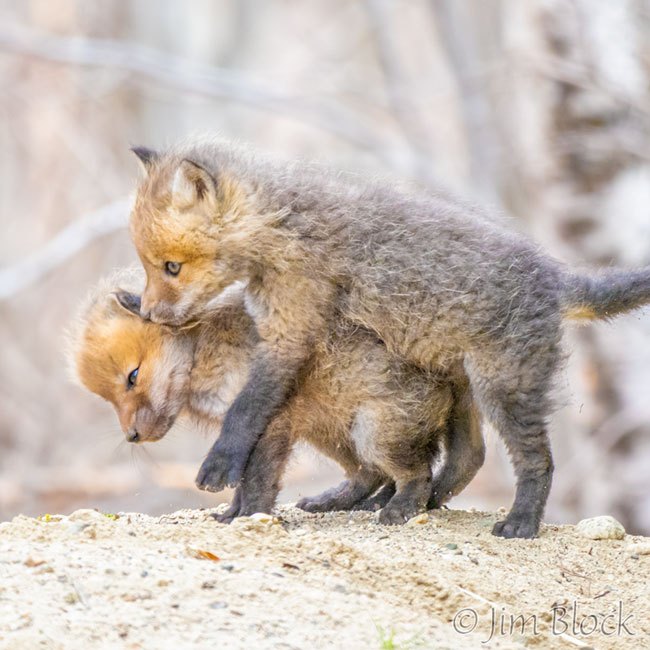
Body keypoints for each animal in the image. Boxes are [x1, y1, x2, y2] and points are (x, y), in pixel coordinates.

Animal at [66, 270, 485, 524]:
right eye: (107, 398)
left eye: (133, 377)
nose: (132, 437)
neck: (206, 351)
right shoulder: (246, 433)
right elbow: (242, 481)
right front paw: (231, 515)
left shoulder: (267, 423)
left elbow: (256, 482)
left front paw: (249, 517)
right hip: (333, 434)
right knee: (371, 474)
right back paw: (332, 502)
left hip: (373, 433)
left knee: (417, 474)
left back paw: (399, 508)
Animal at [128, 138, 650, 538]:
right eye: (150, 266)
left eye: (172, 266)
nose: (150, 314)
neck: (283, 225)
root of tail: (556, 277)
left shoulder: (290, 334)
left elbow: (244, 409)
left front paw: (220, 464)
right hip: (458, 380)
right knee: (468, 457)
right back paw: (408, 500)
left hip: (503, 388)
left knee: (536, 460)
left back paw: (515, 522)